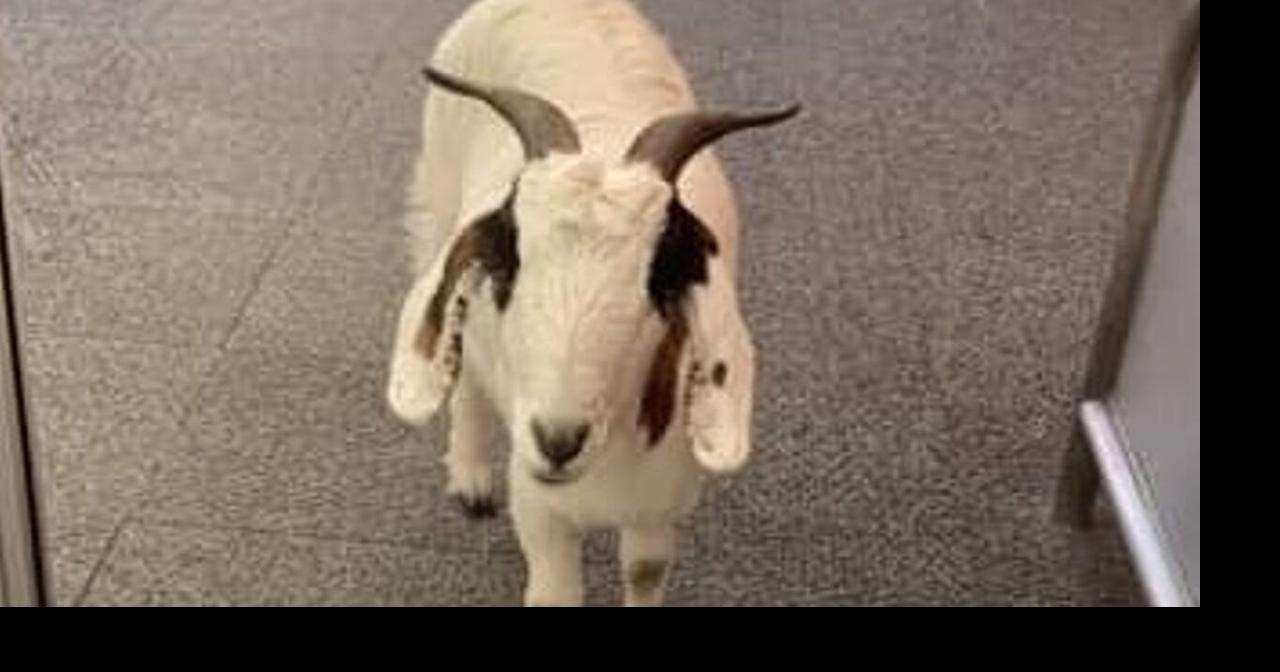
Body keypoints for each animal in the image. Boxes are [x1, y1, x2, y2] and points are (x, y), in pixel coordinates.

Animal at [387, 0, 797, 606]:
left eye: (658, 277)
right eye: (506, 265)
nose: (558, 441)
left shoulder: (658, 513)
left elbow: (644, 573)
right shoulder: (540, 509)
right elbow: (556, 589)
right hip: (436, 199)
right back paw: (471, 479)